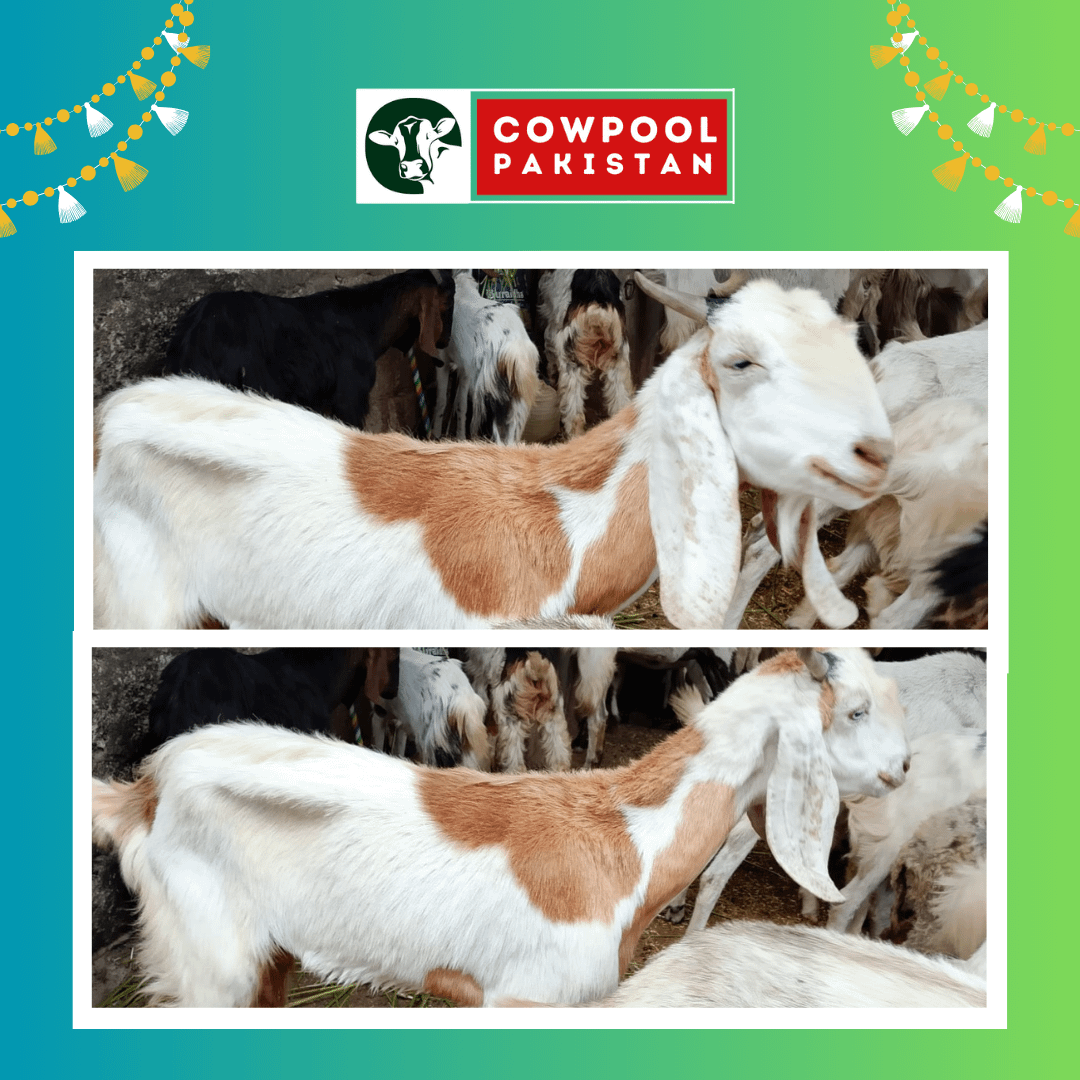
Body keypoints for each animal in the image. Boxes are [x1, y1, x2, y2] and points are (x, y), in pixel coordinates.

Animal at [434, 270, 540, 443]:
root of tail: (512, 347)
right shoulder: (465, 370)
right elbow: (461, 405)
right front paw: (460, 437)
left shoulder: (442, 361)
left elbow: (441, 402)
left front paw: (435, 435)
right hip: (519, 401)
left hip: (490, 395)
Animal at [538, 270, 633, 438]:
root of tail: (598, 307)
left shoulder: (551, 330)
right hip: (618, 362)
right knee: (621, 404)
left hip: (572, 361)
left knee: (574, 414)